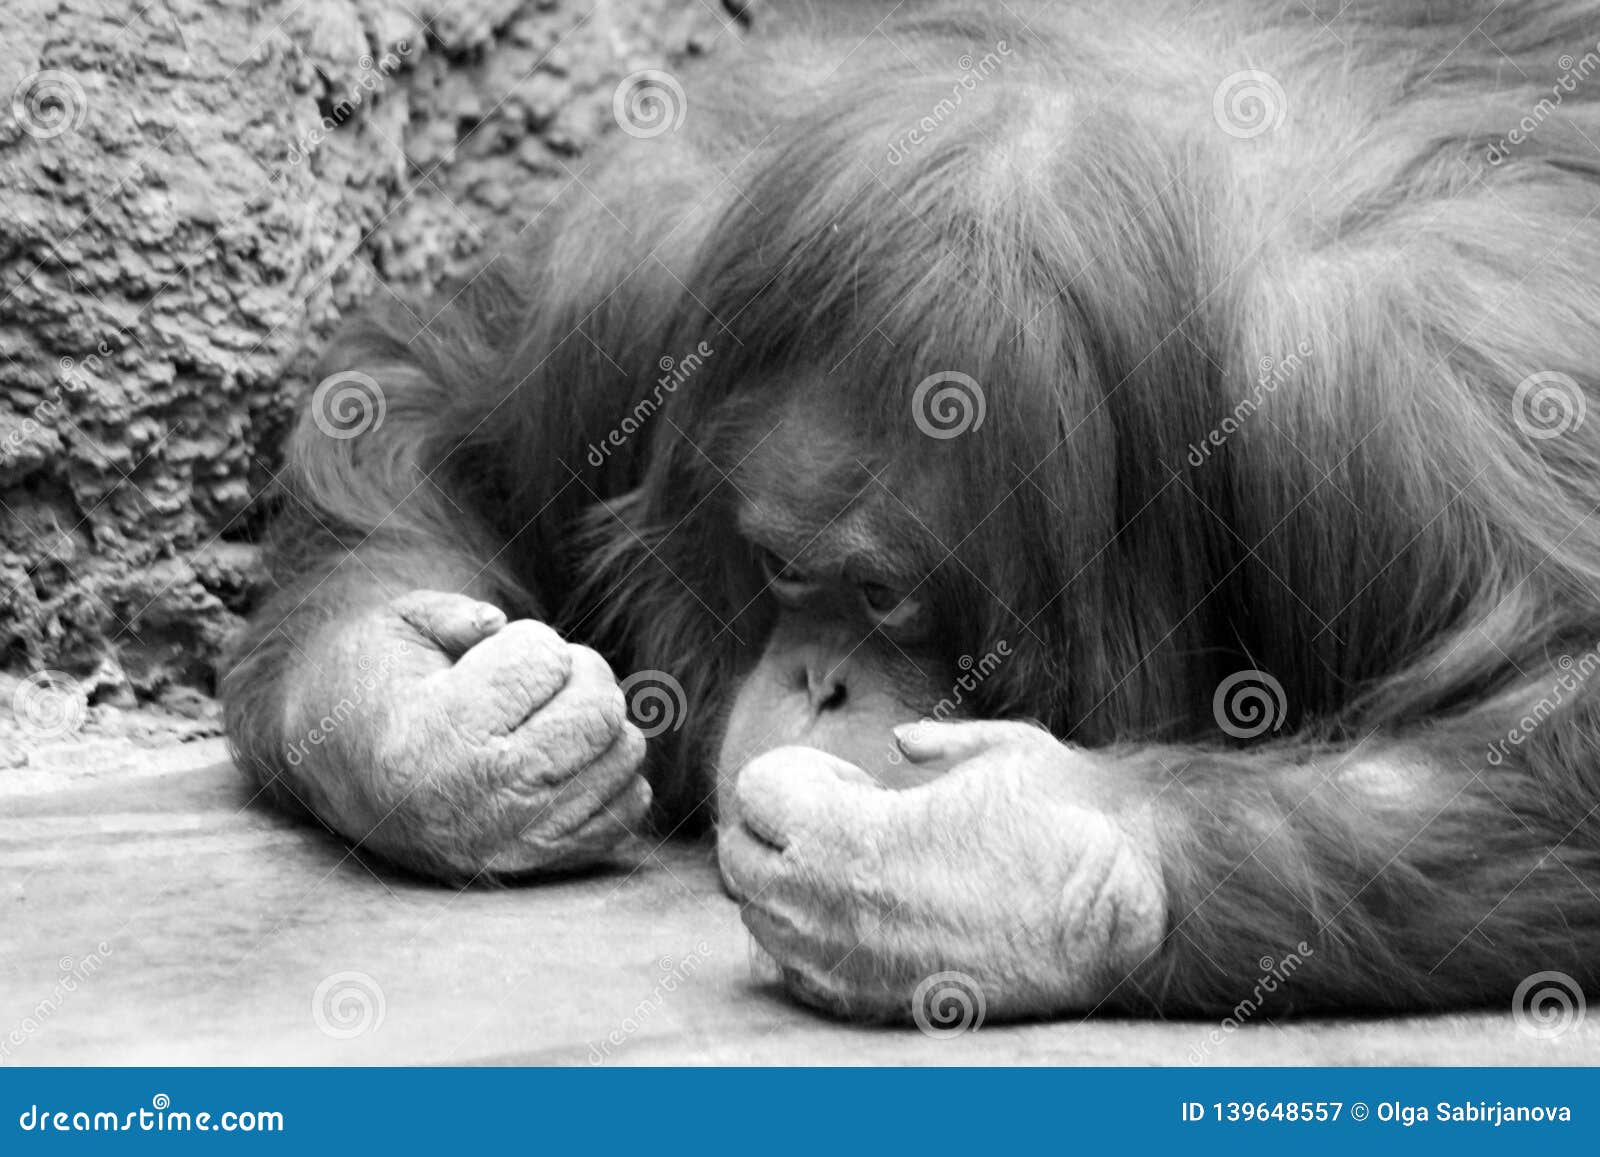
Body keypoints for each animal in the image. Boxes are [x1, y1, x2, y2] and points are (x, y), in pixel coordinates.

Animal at [224, 0, 1600, 1021]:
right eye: (780, 568)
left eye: (884, 596)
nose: (819, 684)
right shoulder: (636, 271)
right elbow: (429, 406)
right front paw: (431, 719)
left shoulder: (1405, 402)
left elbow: (1563, 703)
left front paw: (986, 860)